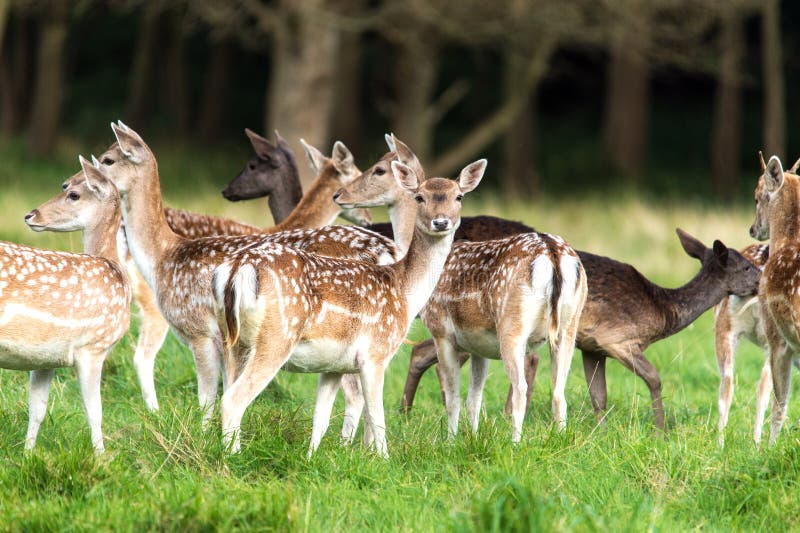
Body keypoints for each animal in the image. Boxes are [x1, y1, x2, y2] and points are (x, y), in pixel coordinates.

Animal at [1, 157, 131, 452]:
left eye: (73, 193)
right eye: (65, 185)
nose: (30, 215)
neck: (117, 270)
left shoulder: (44, 357)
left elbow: (37, 410)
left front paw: (28, 454)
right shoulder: (94, 345)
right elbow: (95, 411)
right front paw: (101, 456)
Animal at [96, 121, 400, 434]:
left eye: (108, 160)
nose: (81, 182)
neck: (165, 255)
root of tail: (387, 251)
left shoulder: (201, 332)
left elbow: (207, 398)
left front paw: (205, 436)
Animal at [212, 155, 486, 457]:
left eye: (458, 196)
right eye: (419, 197)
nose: (441, 222)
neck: (404, 290)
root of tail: (238, 269)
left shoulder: (334, 366)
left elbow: (320, 419)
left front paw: (312, 458)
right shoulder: (375, 353)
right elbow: (377, 418)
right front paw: (383, 460)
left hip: (232, 340)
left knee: (226, 391)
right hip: (276, 337)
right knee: (233, 400)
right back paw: (233, 457)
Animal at [351, 137, 761, 433]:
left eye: (379, 170)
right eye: (746, 265)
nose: (763, 280)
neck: (663, 310)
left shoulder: (592, 346)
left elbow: (599, 395)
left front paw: (601, 433)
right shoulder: (618, 338)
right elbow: (654, 379)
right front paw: (660, 430)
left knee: (426, 355)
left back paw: (409, 413)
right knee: (431, 356)